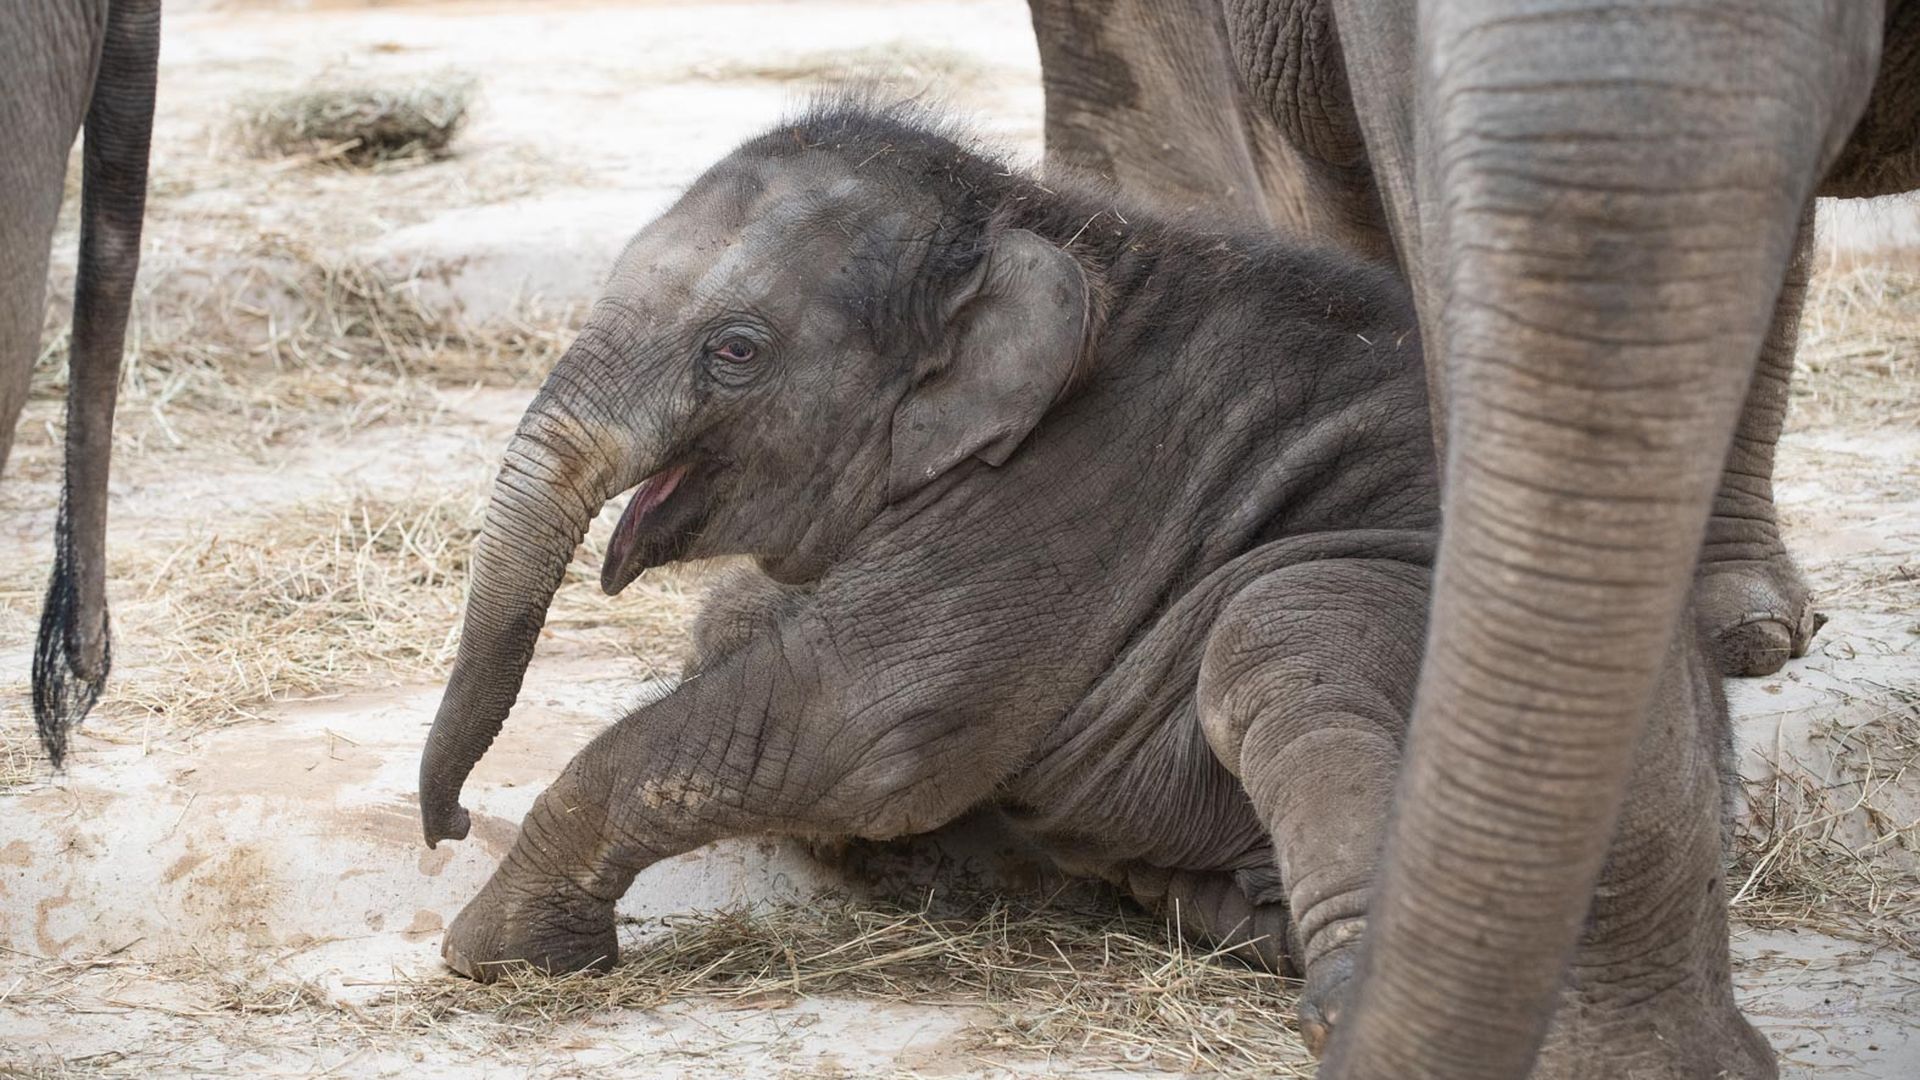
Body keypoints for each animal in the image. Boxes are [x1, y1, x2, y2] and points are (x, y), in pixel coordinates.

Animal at [415, 99, 1769, 1076]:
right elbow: (744, 630)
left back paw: (1342, 1003)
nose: (450, 823)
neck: (1034, 218)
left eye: (734, 352)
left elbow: (855, 724)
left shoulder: (1070, 497)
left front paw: (492, 956)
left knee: (1274, 638)